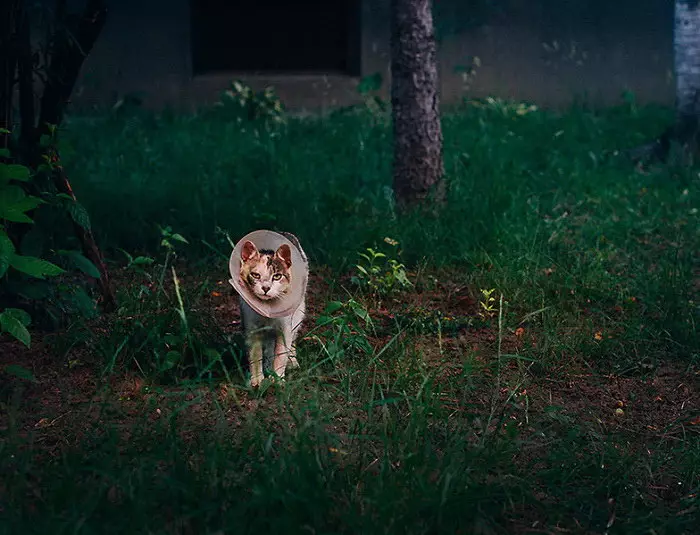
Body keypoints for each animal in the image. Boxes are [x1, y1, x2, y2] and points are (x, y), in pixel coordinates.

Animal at [239, 241, 304, 388]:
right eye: (256, 275)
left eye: (277, 276)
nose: (266, 288)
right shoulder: (252, 329)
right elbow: (255, 355)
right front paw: (257, 379)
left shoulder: (285, 328)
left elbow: (281, 354)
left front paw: (278, 379)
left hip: (298, 314)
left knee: (292, 338)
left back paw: (292, 362)